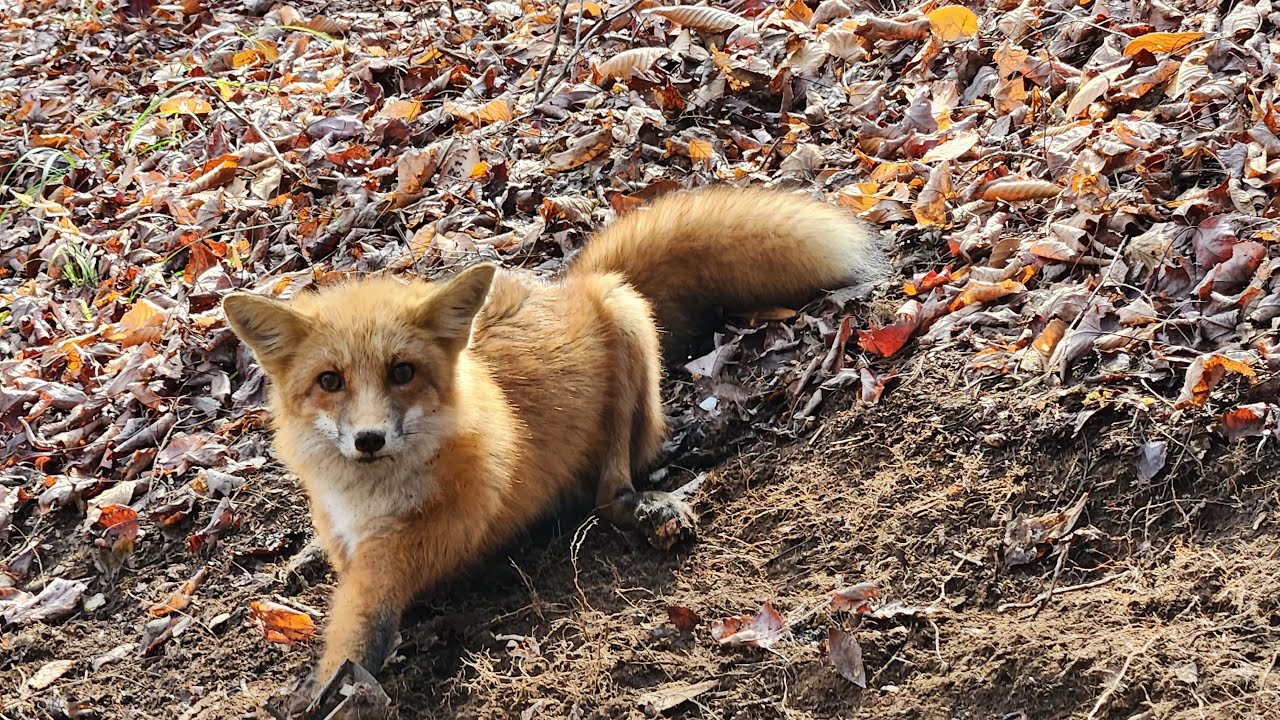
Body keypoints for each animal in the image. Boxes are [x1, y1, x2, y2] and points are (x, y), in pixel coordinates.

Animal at [220, 185, 890, 693]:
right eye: (330, 381)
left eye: (402, 373)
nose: (368, 439)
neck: (366, 499)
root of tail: (572, 282)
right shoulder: (348, 539)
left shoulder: (403, 555)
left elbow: (358, 638)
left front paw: (329, 690)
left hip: (626, 328)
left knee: (611, 490)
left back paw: (647, 509)